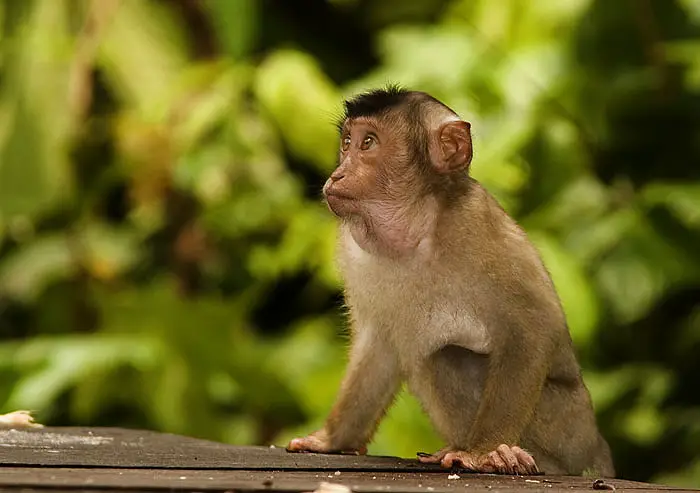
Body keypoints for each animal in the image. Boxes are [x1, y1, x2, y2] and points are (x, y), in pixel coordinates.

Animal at [286, 87, 614, 477]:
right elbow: (377, 350)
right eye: (347, 142)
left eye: (368, 143)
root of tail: (597, 447)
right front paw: (332, 439)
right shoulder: (352, 250)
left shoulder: (475, 226)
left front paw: (485, 452)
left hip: (568, 431)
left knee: (447, 355)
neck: (413, 233)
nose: (337, 175)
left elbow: (533, 329)